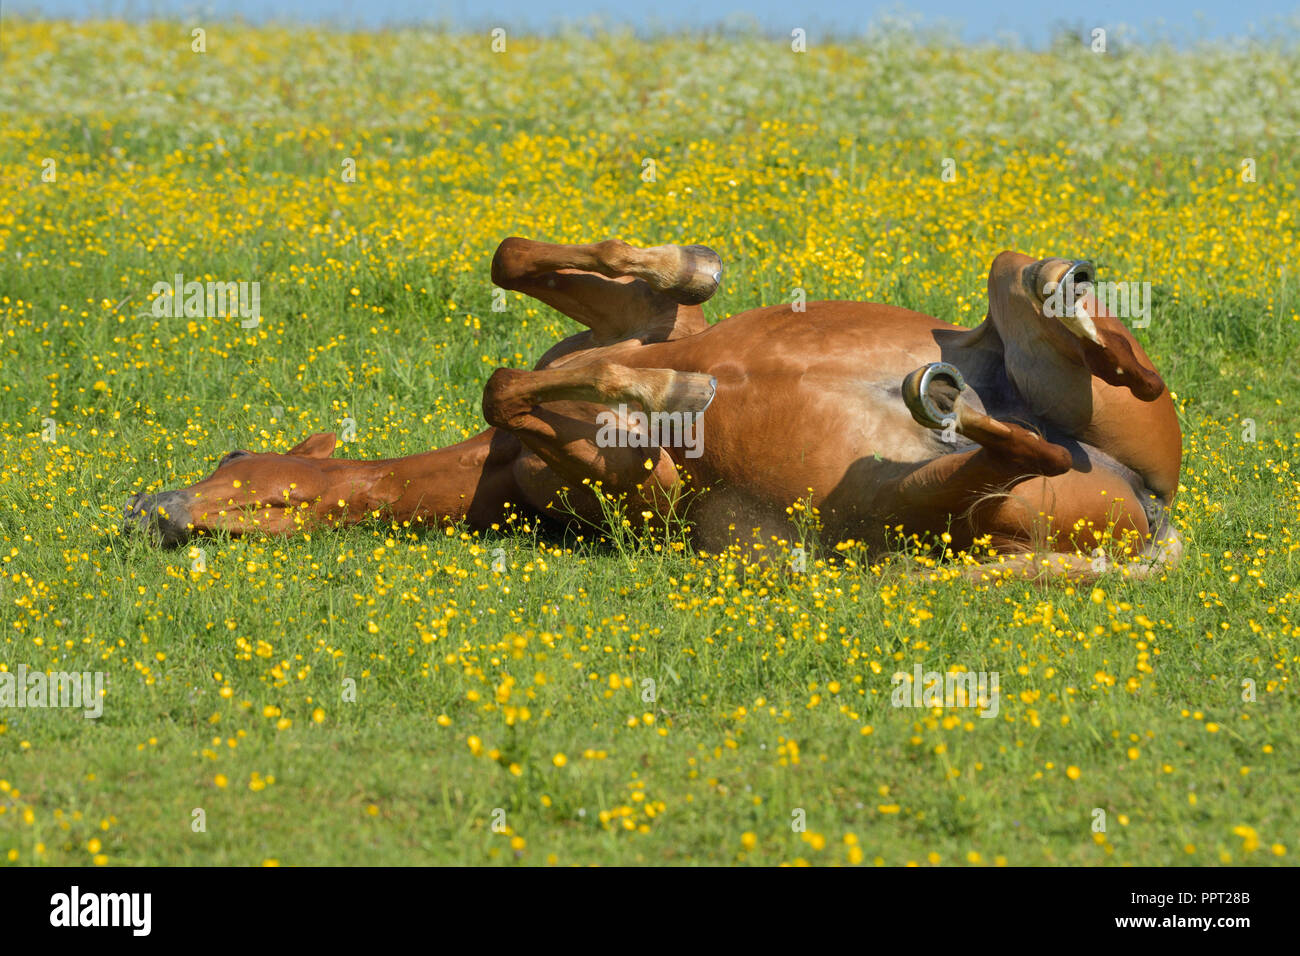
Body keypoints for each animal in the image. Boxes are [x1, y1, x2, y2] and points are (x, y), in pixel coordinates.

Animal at [123, 236, 1182, 579]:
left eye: (250, 485)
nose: (150, 513)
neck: (499, 469)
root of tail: (1156, 509)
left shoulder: (636, 329)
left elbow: (522, 282)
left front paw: (682, 301)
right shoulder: (638, 495)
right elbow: (515, 384)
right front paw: (670, 393)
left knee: (1112, 363)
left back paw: (1058, 300)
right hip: (927, 510)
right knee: (1023, 451)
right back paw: (951, 397)